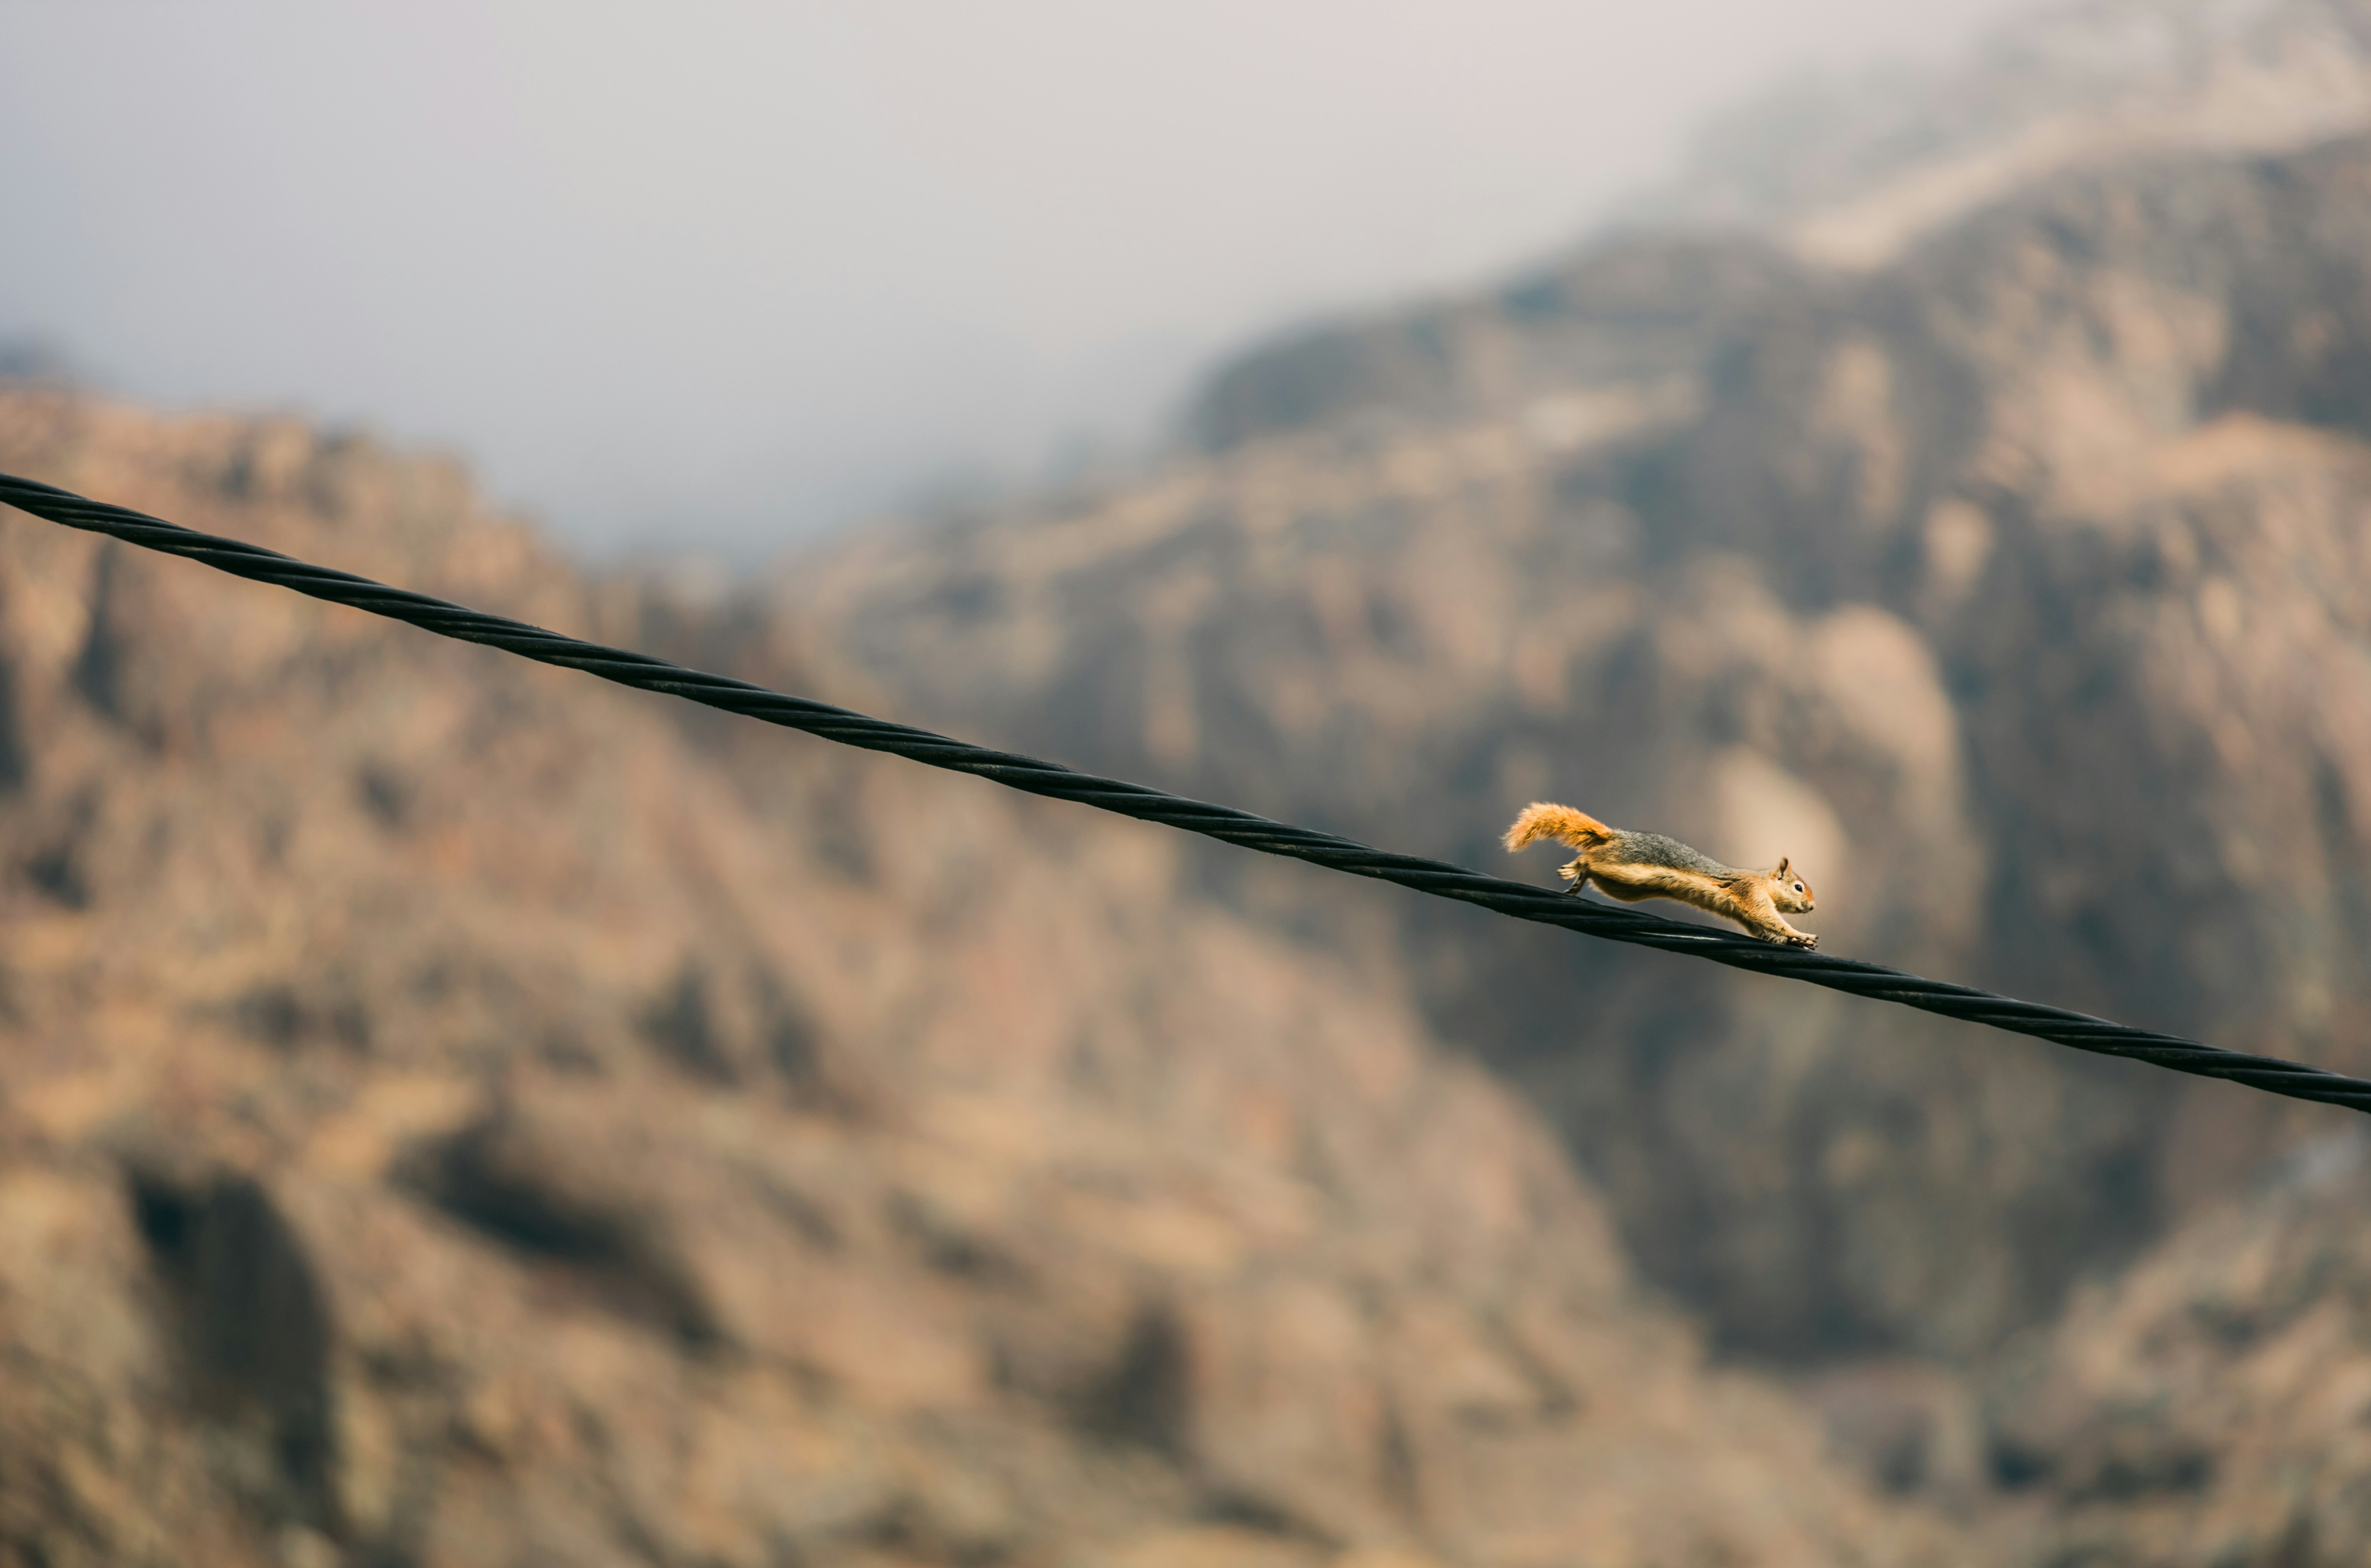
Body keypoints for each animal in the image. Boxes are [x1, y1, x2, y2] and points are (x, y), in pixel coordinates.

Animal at [1503, 802, 1819, 948]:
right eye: (1798, 887)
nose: (1814, 906)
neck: (1763, 882)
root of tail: (1615, 836)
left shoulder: (1746, 914)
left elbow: (1765, 931)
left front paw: (1796, 941)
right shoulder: (1750, 894)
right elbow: (1769, 918)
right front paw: (1800, 933)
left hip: (1623, 887)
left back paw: (1578, 880)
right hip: (1622, 869)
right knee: (1591, 859)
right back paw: (1577, 866)